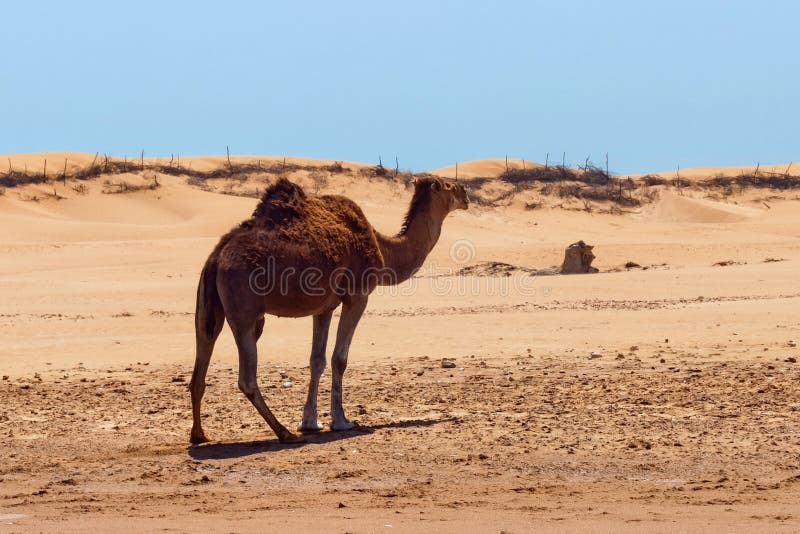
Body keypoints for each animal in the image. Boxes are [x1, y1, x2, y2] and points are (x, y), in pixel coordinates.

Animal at [189, 176, 469, 444]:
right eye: (448, 185)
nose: (466, 194)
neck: (382, 248)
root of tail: (217, 255)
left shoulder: (323, 307)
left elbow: (316, 360)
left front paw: (309, 422)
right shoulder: (357, 295)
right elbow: (339, 358)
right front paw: (341, 420)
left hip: (209, 304)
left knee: (202, 357)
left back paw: (200, 435)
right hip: (245, 309)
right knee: (246, 377)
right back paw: (285, 434)